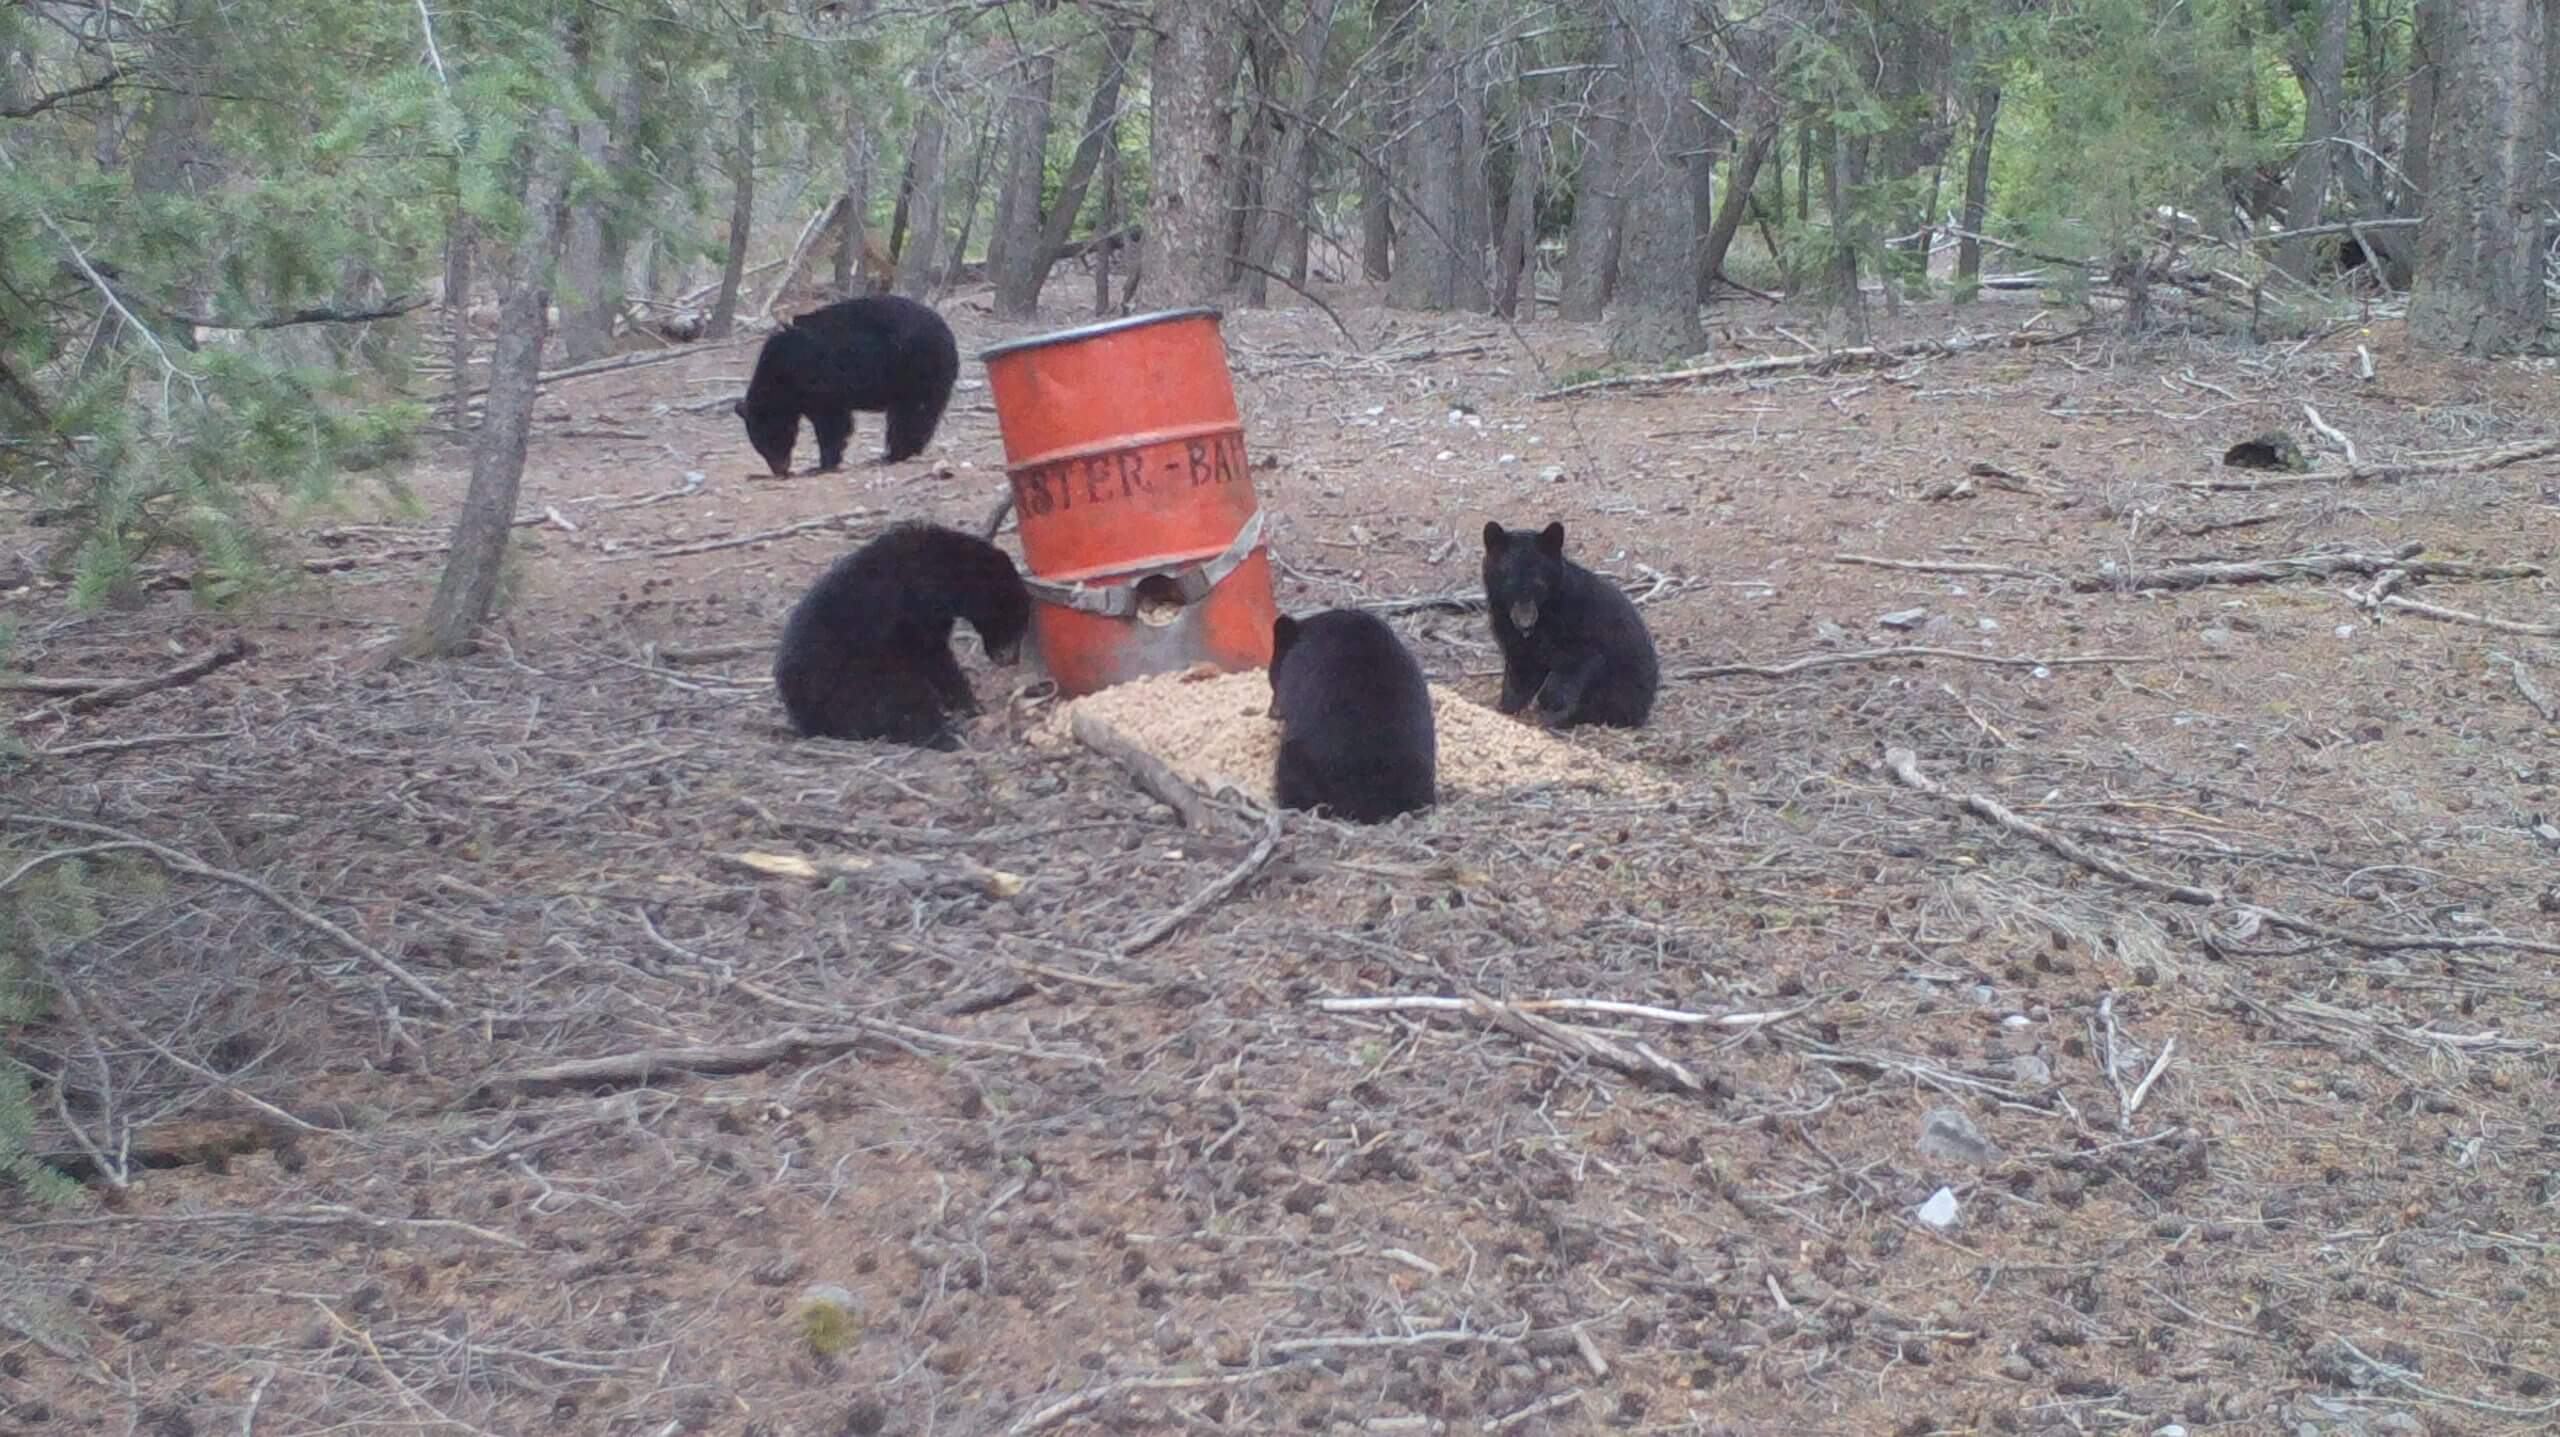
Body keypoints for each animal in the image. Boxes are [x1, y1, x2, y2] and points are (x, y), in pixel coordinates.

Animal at [733, 295, 960, 476]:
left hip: (916, 368)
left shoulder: (819, 380)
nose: (780, 470)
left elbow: (833, 422)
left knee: (912, 414)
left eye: (771, 440)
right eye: (760, 447)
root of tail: (949, 335)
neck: (781, 375)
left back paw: (896, 454)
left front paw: (821, 465)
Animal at [772, 522, 1033, 750]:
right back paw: (943, 736)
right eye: (1014, 618)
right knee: (898, 698)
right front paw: (969, 704)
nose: (1010, 658)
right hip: (854, 680)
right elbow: (934, 659)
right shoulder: (913, 615)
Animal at [1481, 520, 1659, 729]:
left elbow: (1576, 664)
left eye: (1539, 585)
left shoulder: (1580, 628)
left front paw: (1551, 708)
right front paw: (1507, 707)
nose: (1525, 623)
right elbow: (1519, 670)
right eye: (1508, 584)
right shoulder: (1508, 629)